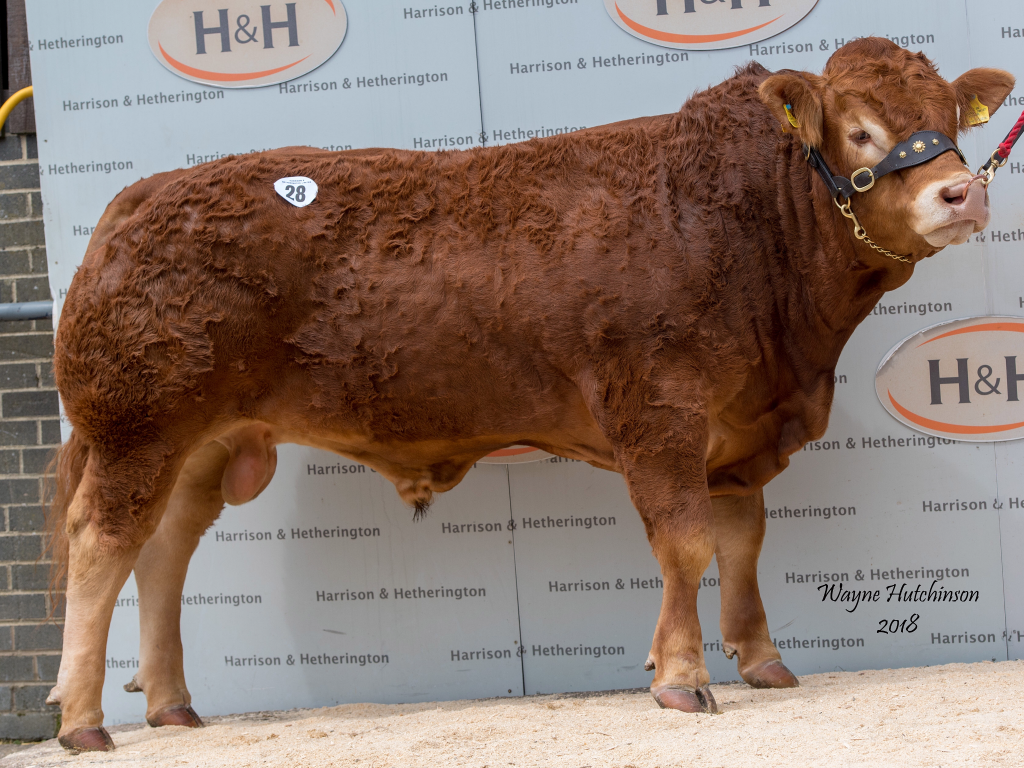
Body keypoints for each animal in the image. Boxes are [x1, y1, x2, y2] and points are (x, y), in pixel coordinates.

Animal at [44, 38, 1014, 752]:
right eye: (860, 131)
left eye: (946, 120)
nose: (962, 192)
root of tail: (148, 192)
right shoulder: (657, 408)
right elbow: (687, 543)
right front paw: (681, 679)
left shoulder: (740, 431)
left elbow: (742, 545)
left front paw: (764, 661)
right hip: (137, 425)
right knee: (101, 547)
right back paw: (85, 720)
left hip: (199, 441)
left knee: (163, 552)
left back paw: (172, 705)